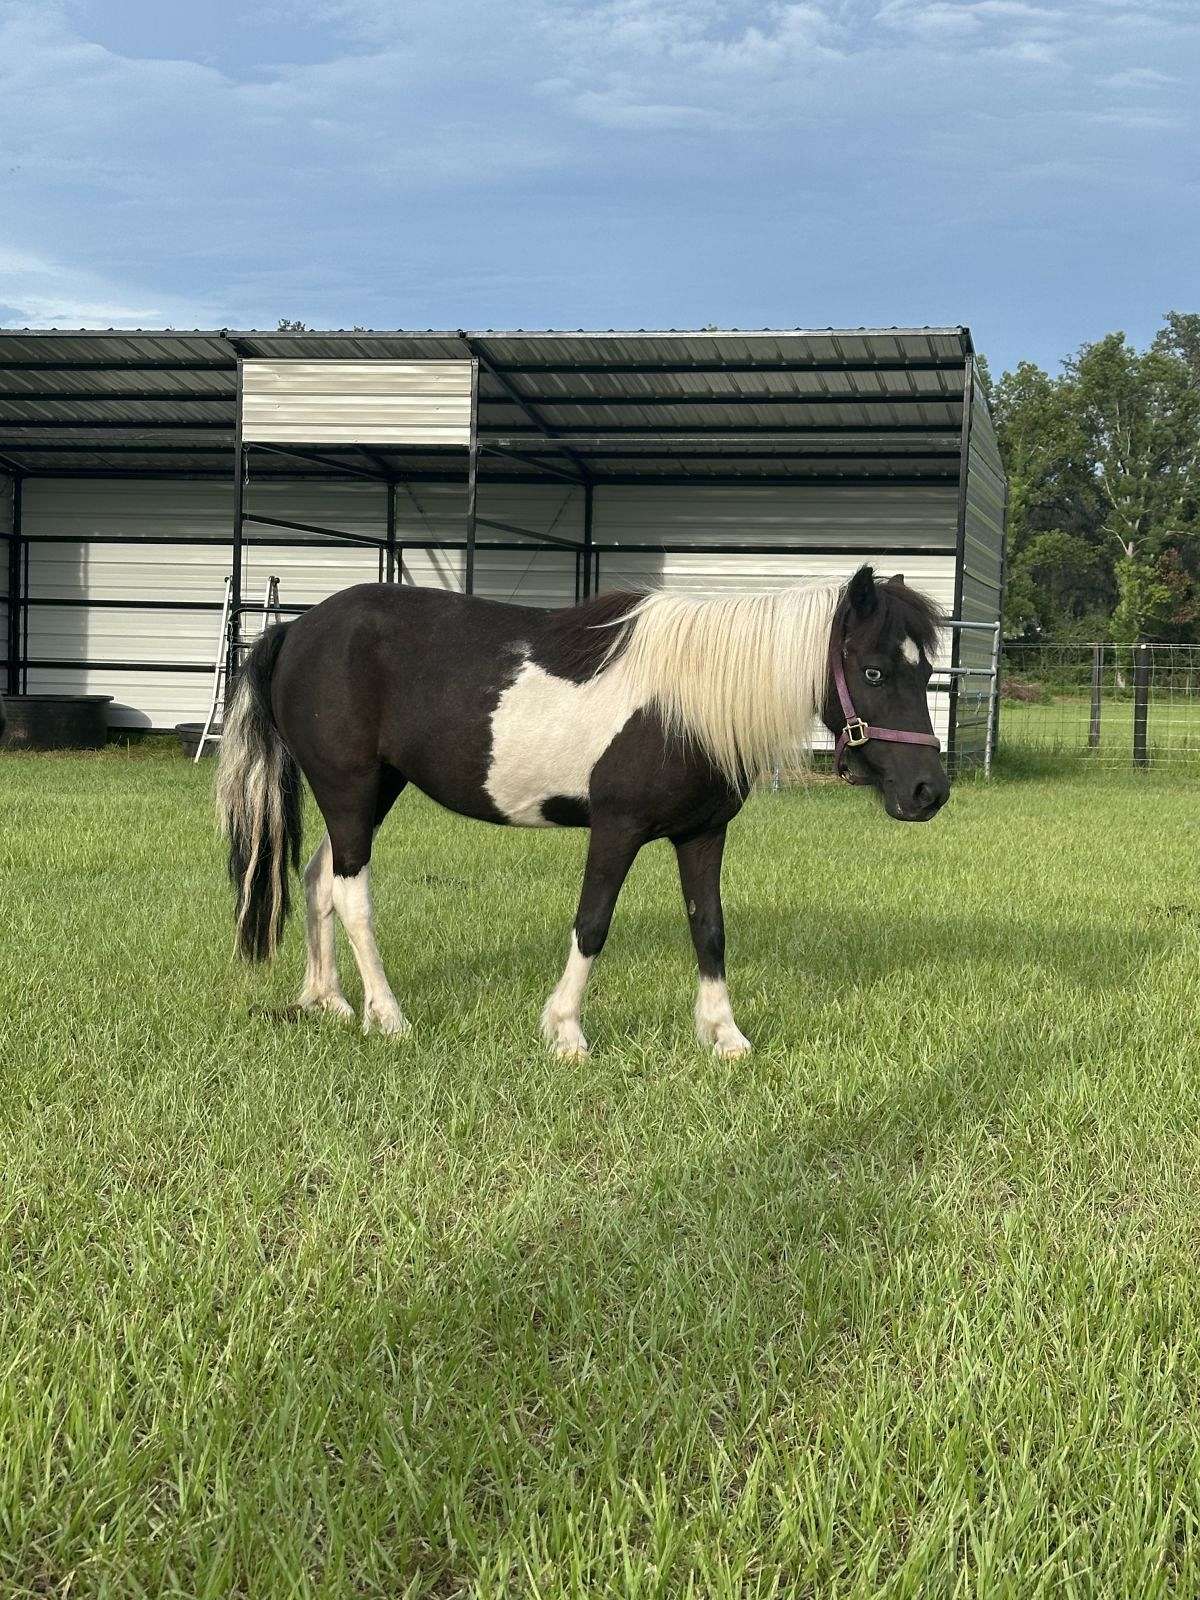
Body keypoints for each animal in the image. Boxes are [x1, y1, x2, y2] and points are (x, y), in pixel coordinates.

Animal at [215, 564, 947, 1057]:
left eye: (927, 671)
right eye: (875, 671)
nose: (929, 793)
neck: (685, 705)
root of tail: (297, 629)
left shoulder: (702, 834)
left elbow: (709, 929)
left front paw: (724, 1034)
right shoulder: (616, 830)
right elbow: (592, 924)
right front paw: (565, 1031)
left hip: (373, 793)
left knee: (318, 880)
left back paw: (329, 1001)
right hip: (350, 789)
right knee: (351, 894)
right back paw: (388, 1016)